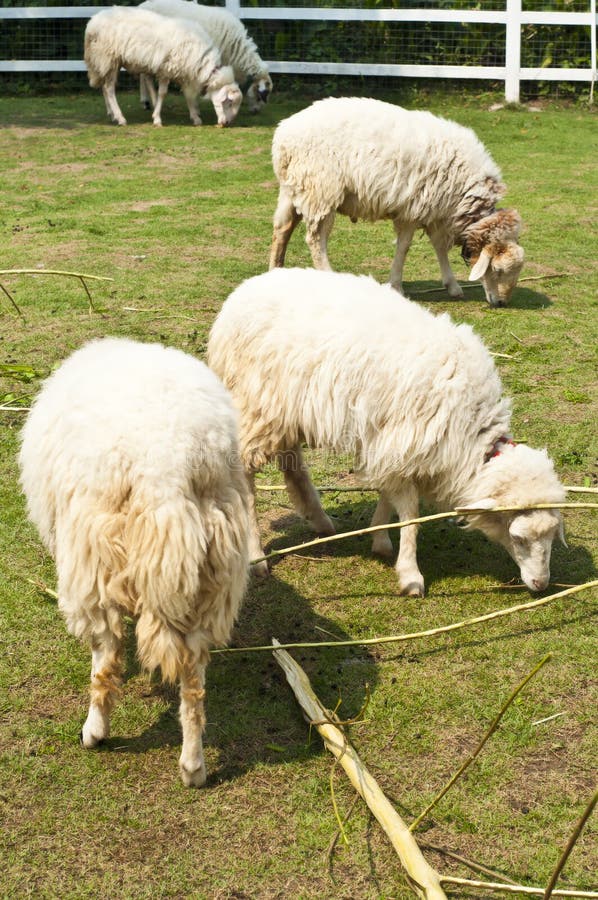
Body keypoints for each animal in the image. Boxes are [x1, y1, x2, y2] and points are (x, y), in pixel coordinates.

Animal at [19, 337, 249, 787]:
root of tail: (167, 470)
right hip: (211, 568)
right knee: (193, 677)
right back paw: (193, 766)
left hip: (93, 558)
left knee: (105, 656)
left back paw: (95, 731)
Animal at [84, 6, 243, 127]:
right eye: (229, 102)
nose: (226, 123)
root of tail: (92, 23)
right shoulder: (167, 70)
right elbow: (162, 93)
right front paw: (157, 119)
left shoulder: (184, 74)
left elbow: (188, 96)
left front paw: (195, 117)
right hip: (108, 57)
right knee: (109, 89)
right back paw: (120, 118)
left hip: (105, 61)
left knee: (104, 87)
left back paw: (111, 114)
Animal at [138, 0, 273, 113]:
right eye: (260, 96)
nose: (256, 111)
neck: (235, 49)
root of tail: (141, 6)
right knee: (145, 76)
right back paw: (147, 101)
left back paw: (146, 102)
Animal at [207, 268, 566, 596]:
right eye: (519, 537)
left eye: (552, 535)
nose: (541, 584)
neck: (473, 431)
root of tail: (241, 294)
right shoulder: (403, 439)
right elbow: (410, 513)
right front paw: (409, 573)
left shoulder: (393, 444)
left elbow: (388, 494)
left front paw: (379, 536)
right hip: (257, 404)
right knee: (244, 477)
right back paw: (256, 555)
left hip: (286, 410)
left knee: (291, 461)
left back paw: (320, 520)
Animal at [270, 97, 525, 307]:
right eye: (498, 269)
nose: (501, 303)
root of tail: (283, 135)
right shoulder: (414, 208)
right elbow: (404, 247)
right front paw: (396, 285)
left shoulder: (436, 212)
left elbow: (439, 247)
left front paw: (452, 285)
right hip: (321, 190)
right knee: (315, 239)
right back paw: (327, 274)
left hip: (294, 187)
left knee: (282, 228)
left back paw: (275, 270)